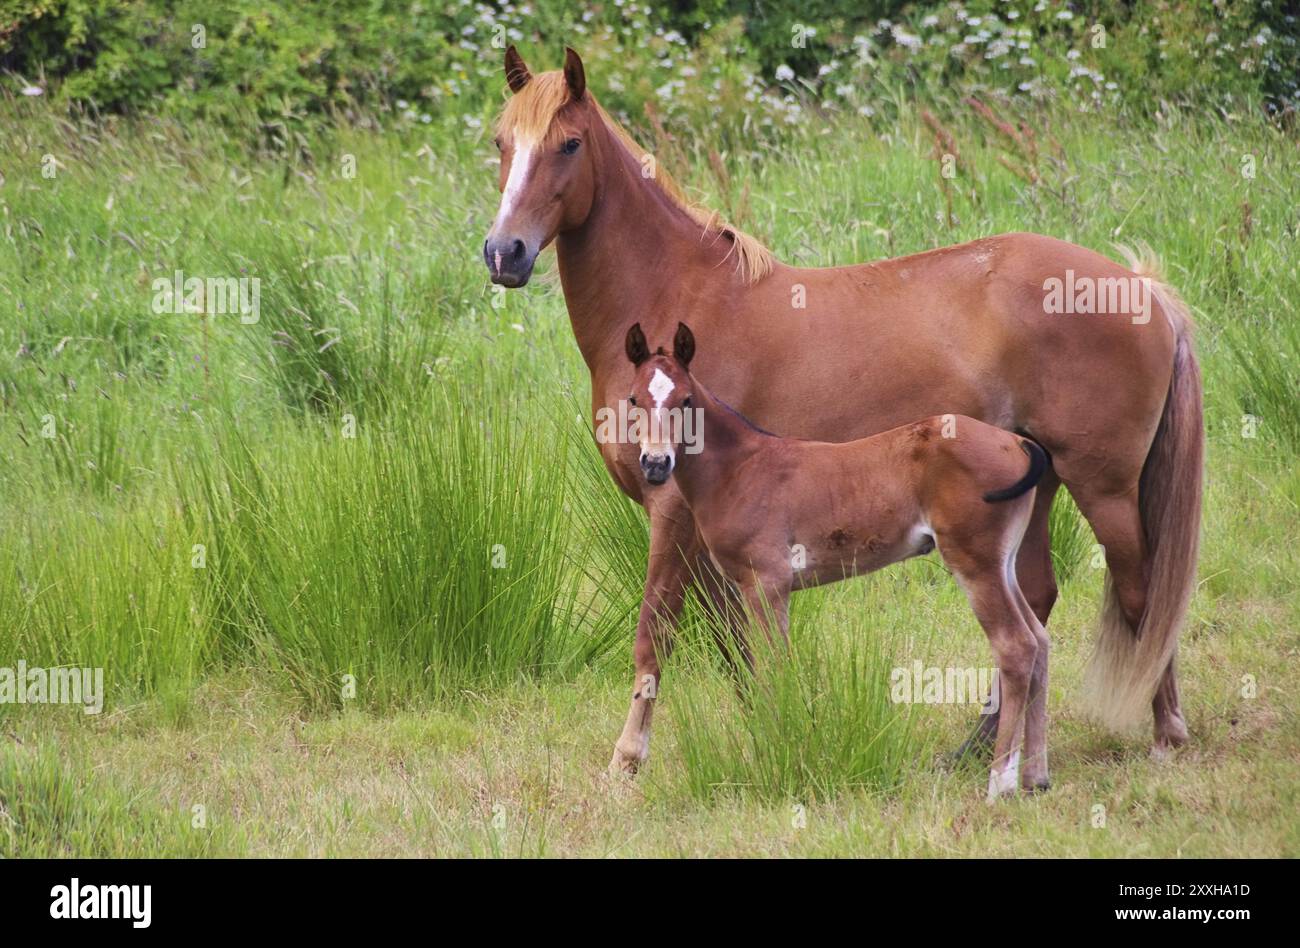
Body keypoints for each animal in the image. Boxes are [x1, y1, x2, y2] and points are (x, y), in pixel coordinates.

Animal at [624, 321, 1051, 799]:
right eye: (634, 399)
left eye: (685, 400)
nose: (655, 464)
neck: (739, 469)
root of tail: (1017, 442)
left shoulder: (767, 581)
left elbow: (774, 669)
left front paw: (779, 754)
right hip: (1003, 562)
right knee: (1040, 643)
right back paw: (1036, 775)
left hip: (974, 562)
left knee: (1016, 646)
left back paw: (1000, 785)